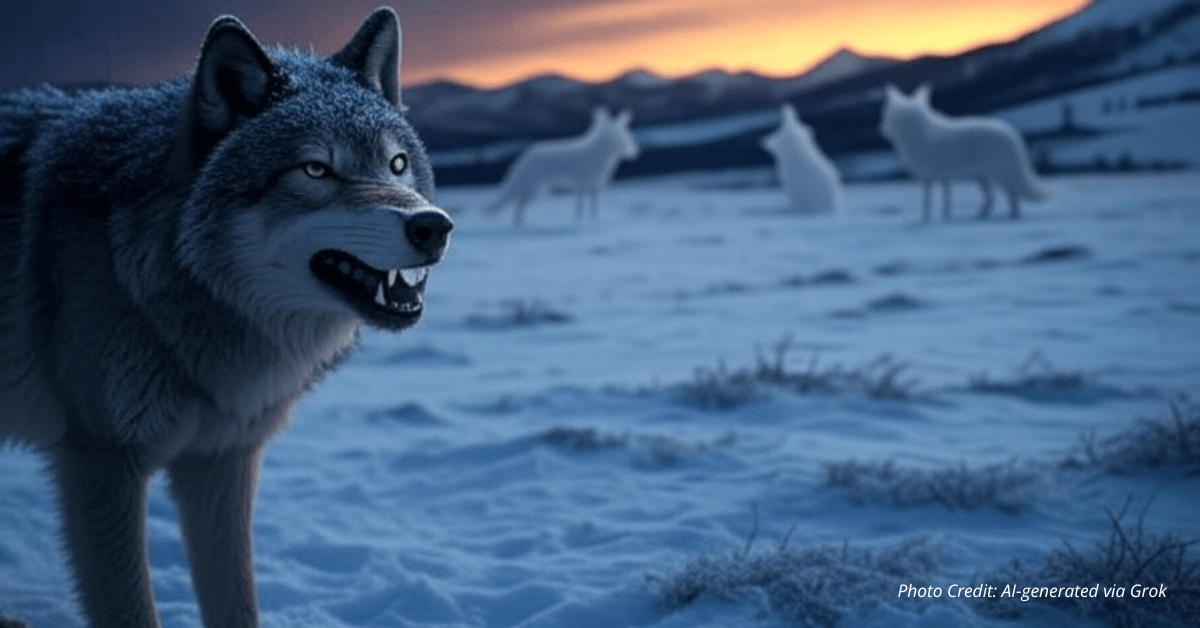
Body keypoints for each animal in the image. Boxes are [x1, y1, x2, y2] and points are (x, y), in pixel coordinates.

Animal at [0, 8, 451, 628]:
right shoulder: (101, 465)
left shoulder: (221, 462)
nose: (435, 227)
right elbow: (132, 608)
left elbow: (236, 602)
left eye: (397, 164)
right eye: (316, 169)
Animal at [485, 107, 639, 226]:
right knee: (517, 207)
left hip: (533, 190)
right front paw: (580, 221)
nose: (633, 151)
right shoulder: (581, 185)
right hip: (531, 189)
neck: (600, 155)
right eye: (615, 134)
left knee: (518, 206)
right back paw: (519, 225)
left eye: (624, 134)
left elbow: (593, 208)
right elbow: (580, 207)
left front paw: (593, 220)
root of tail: (523, 157)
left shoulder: (596, 187)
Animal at [879, 84, 1047, 220]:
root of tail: (1013, 133)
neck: (919, 133)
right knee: (993, 199)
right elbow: (937, 201)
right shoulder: (935, 177)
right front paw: (937, 217)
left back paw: (1010, 215)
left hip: (998, 173)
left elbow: (936, 201)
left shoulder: (937, 175)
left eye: (894, 116)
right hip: (982, 177)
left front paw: (936, 218)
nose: (883, 130)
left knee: (1011, 194)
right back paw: (982, 215)